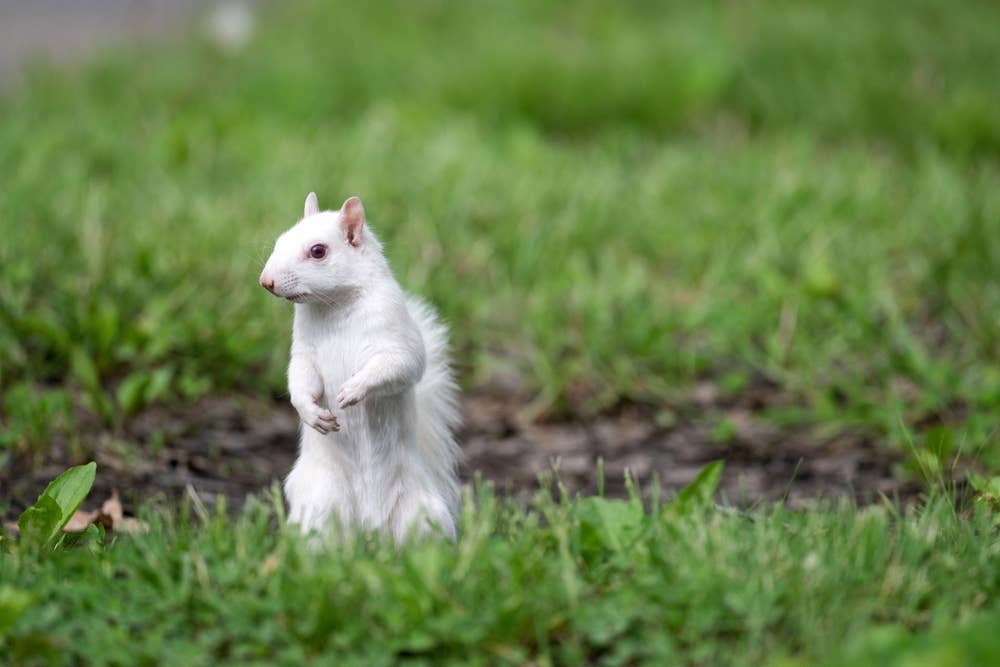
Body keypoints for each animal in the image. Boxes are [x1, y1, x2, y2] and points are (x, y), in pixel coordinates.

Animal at [259, 193, 461, 542]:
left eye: (318, 251)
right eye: (280, 240)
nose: (266, 281)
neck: (335, 308)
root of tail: (371, 526)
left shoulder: (396, 337)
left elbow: (400, 365)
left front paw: (353, 390)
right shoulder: (305, 352)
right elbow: (300, 379)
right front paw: (312, 413)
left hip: (422, 516)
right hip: (322, 504)